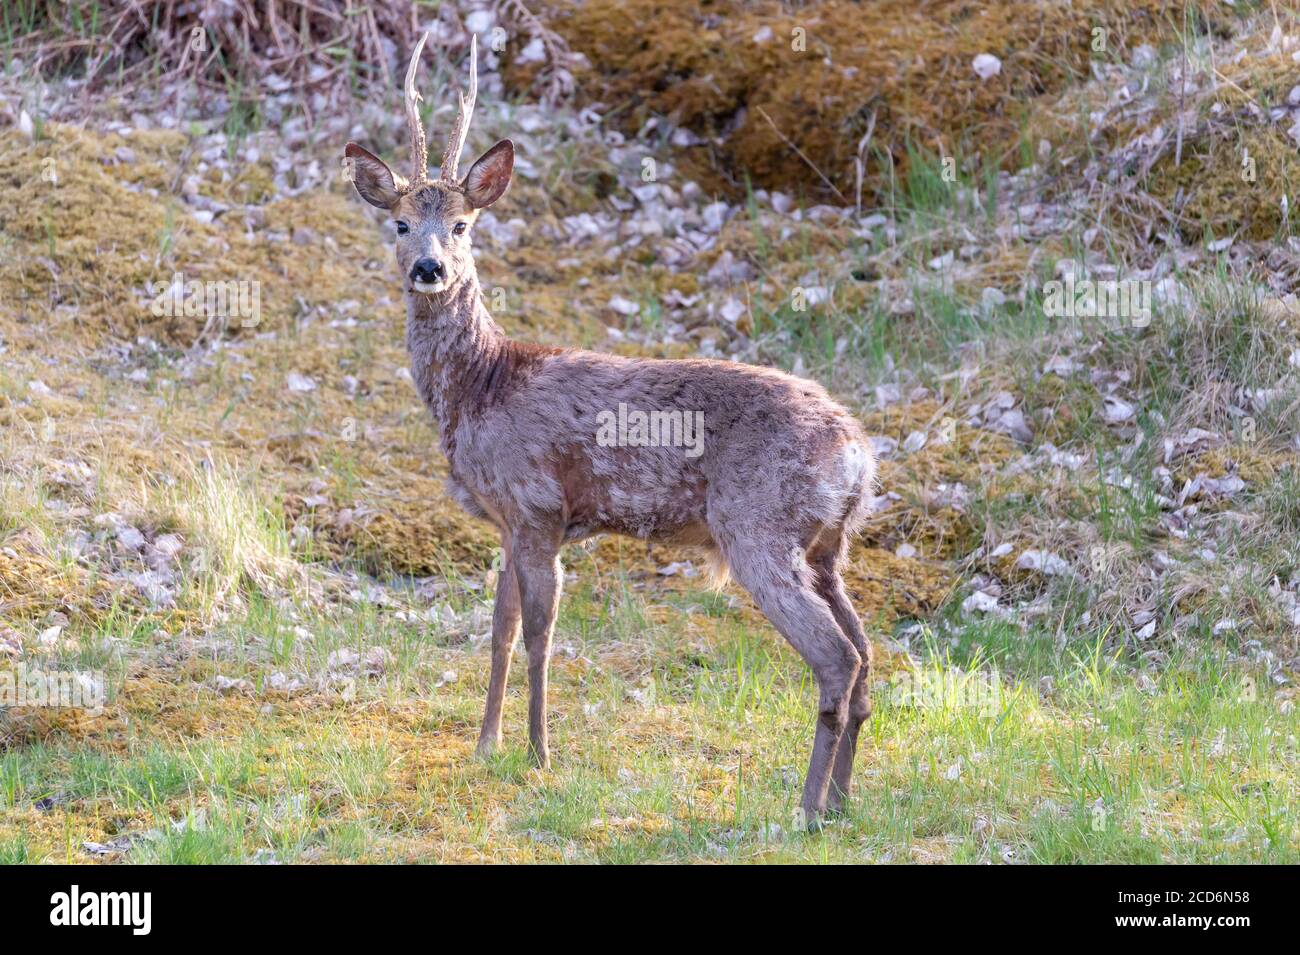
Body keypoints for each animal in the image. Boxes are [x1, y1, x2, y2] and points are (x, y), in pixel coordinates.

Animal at [343, 34, 878, 825]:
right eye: (401, 222)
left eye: (464, 224)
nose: (430, 268)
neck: (482, 386)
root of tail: (860, 455)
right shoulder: (509, 522)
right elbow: (499, 632)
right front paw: (485, 745)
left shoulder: (537, 504)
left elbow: (540, 635)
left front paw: (538, 753)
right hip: (827, 544)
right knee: (866, 654)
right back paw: (841, 802)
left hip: (759, 526)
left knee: (837, 657)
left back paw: (806, 808)